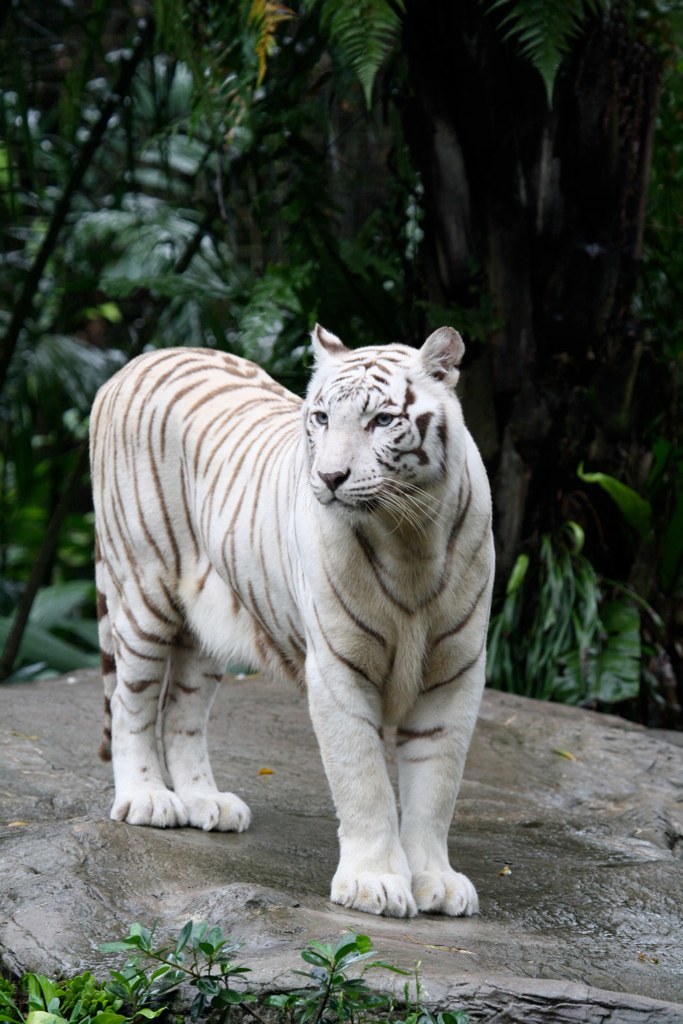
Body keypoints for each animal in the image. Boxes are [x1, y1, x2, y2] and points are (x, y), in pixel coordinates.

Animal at [89, 323, 494, 919]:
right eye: (321, 417)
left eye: (382, 420)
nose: (329, 476)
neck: (410, 536)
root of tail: (134, 363)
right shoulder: (338, 669)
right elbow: (364, 779)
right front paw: (373, 882)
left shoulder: (455, 673)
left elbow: (435, 784)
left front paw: (435, 881)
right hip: (143, 590)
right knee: (131, 701)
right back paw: (146, 798)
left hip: (203, 626)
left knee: (183, 710)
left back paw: (205, 802)